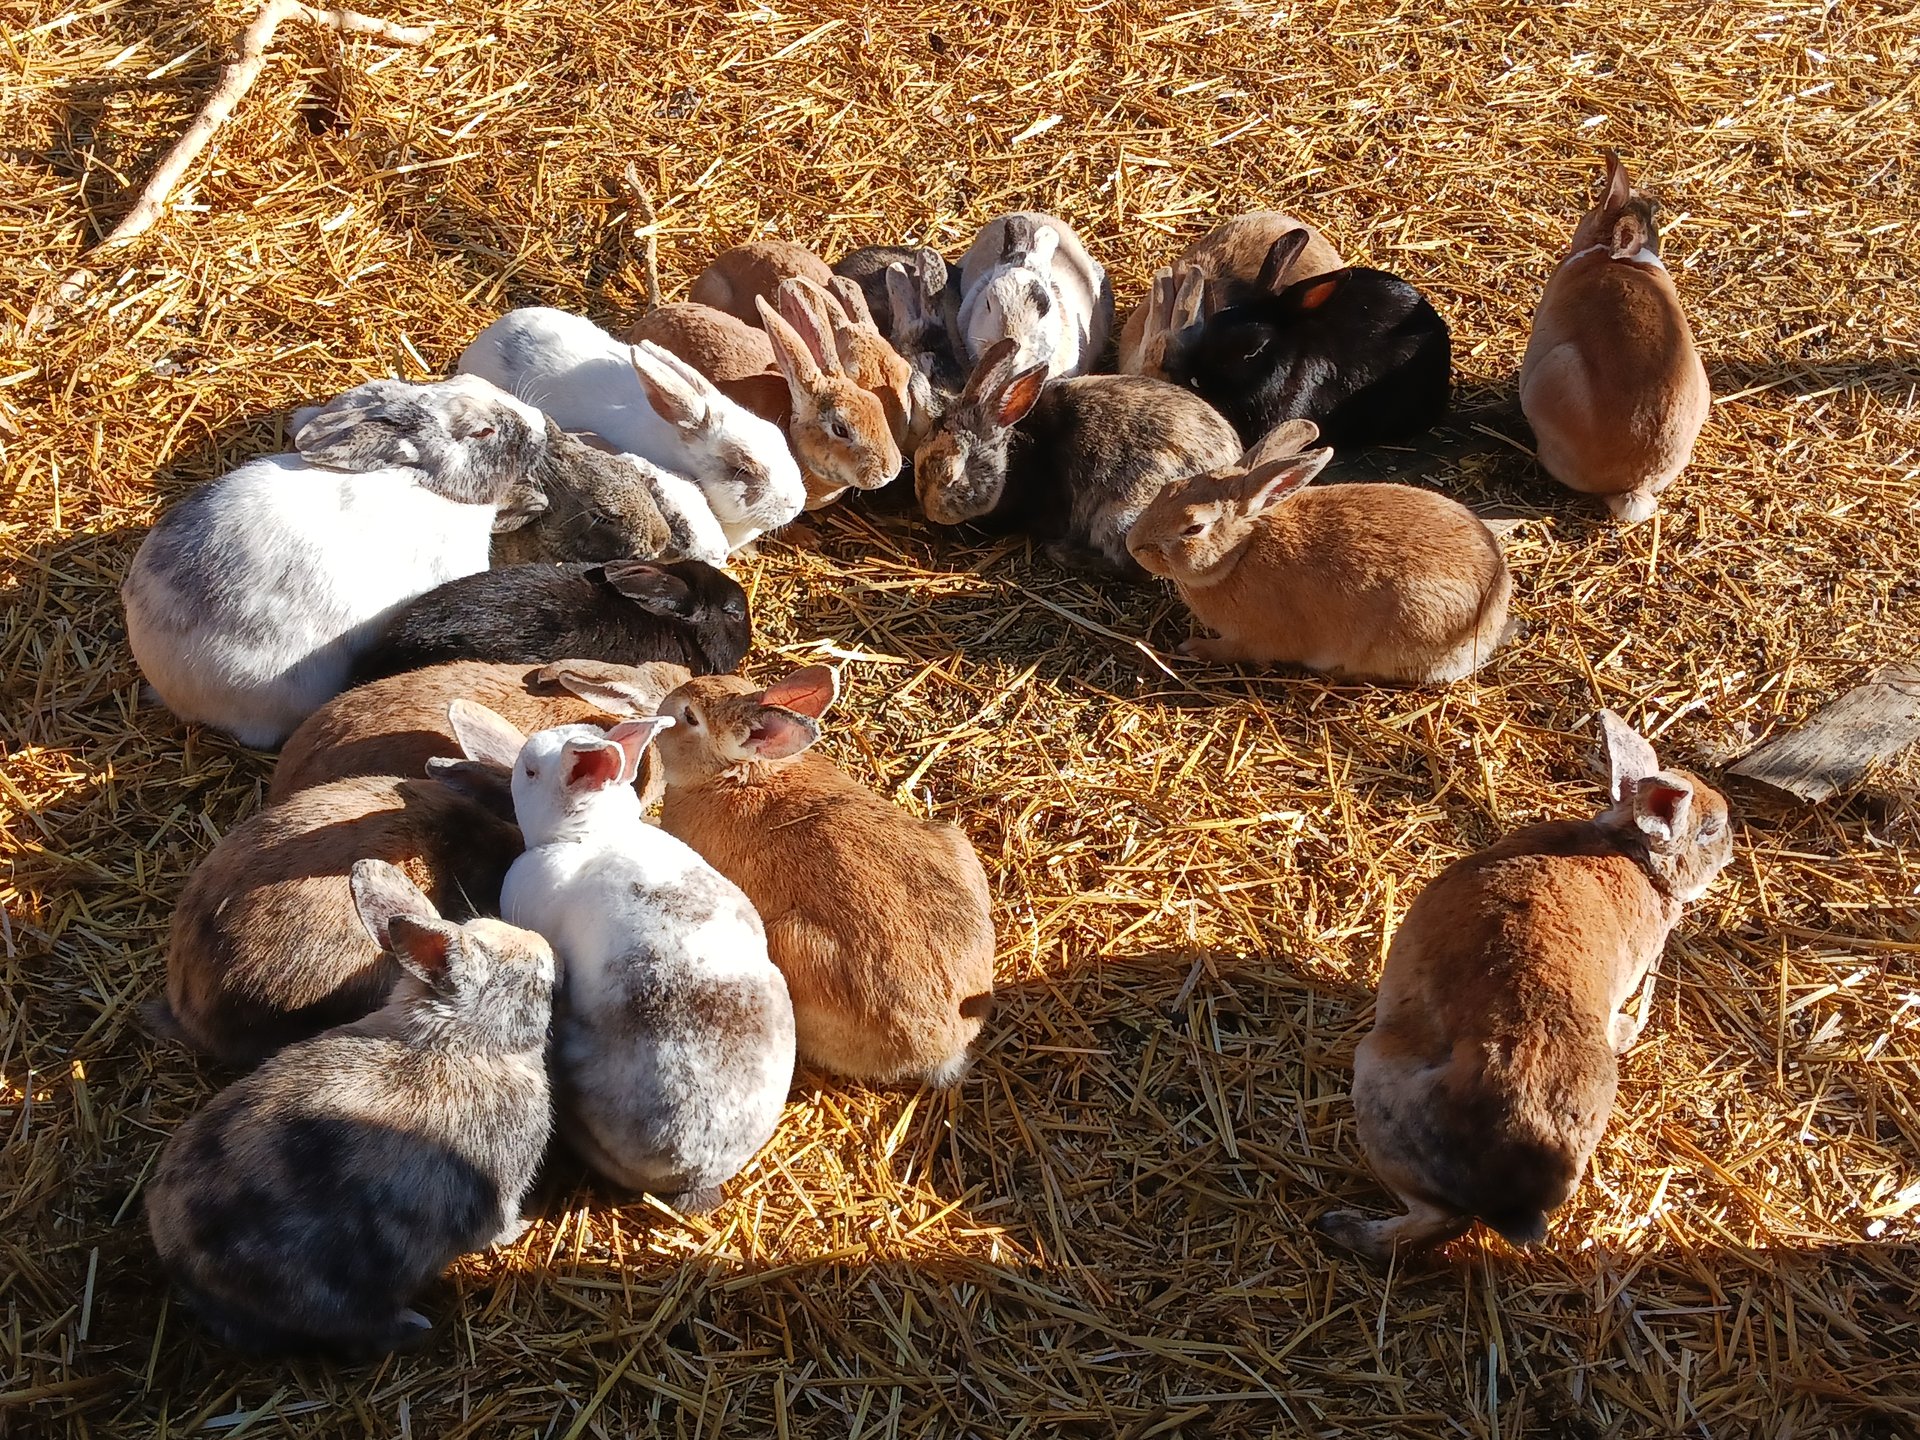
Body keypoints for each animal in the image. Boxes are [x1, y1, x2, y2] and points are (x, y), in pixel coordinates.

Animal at [146, 859, 554, 1358]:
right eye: (536, 982)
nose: (548, 949)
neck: (464, 1046)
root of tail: (178, 1258)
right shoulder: (501, 1191)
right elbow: (499, 1227)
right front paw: (523, 1228)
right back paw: (415, 1325)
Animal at [655, 666, 995, 1087]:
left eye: (690, 717)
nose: (663, 706)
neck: (737, 774)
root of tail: (943, 1047)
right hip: (953, 839)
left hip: (793, 946)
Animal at [1126, 420, 1511, 683]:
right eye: (1169, 487)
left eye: (1193, 528)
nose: (1133, 545)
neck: (1239, 553)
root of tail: (1492, 624)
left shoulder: (1252, 639)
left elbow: (1233, 650)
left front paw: (1193, 648)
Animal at [1316, 712, 1735, 1262]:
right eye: (1709, 830)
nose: (1730, 844)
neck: (1636, 856)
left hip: (1375, 1078)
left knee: (1434, 1222)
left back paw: (1338, 1227)